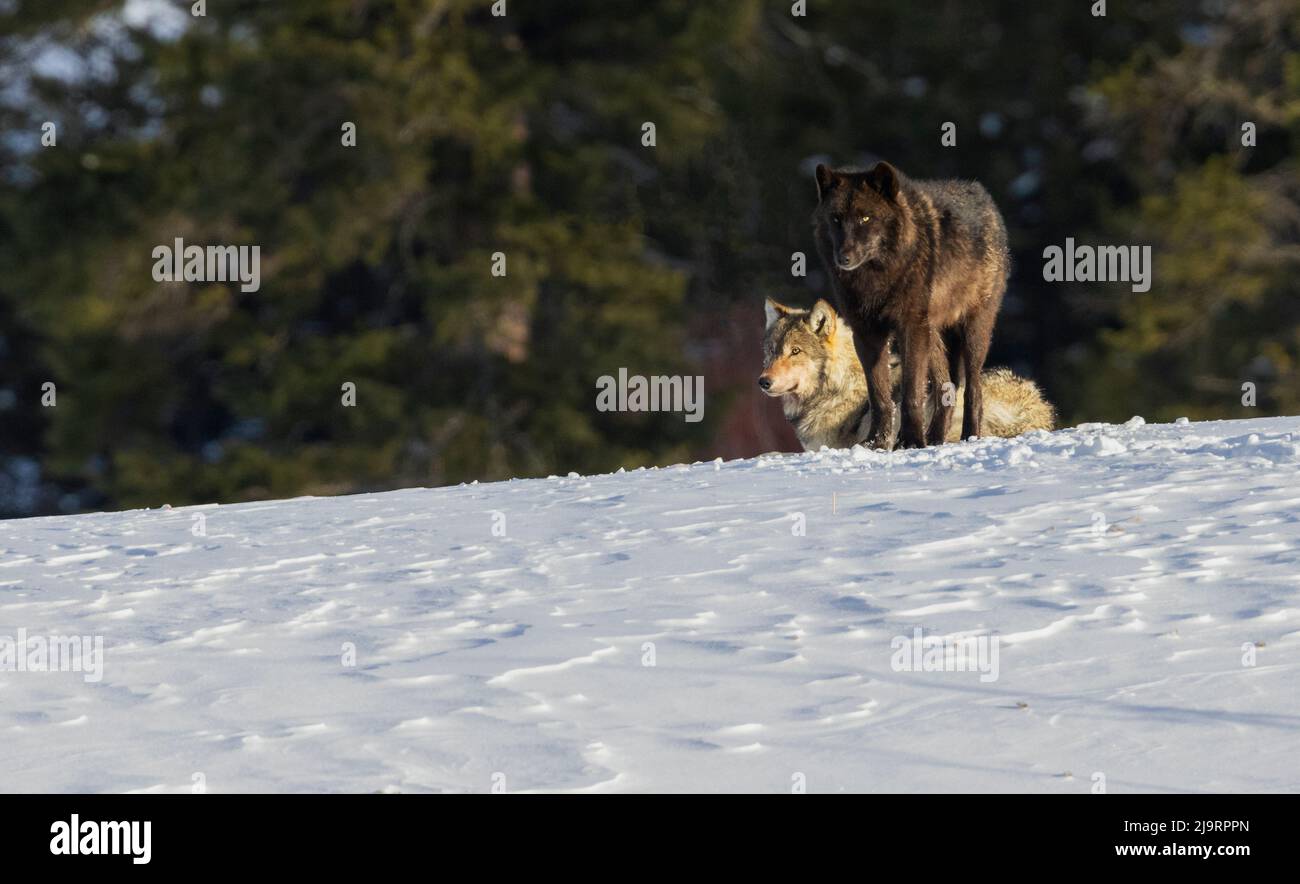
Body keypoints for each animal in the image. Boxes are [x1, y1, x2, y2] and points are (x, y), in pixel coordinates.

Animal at [812, 161, 1009, 449]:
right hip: (933, 336)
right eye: (836, 219)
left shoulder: (910, 327)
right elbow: (879, 395)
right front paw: (875, 443)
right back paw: (935, 439)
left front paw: (911, 440)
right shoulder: (866, 333)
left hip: (972, 331)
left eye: (865, 218)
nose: (843, 257)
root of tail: (985, 197)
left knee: (973, 390)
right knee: (947, 387)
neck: (877, 276)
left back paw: (969, 437)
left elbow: (910, 391)